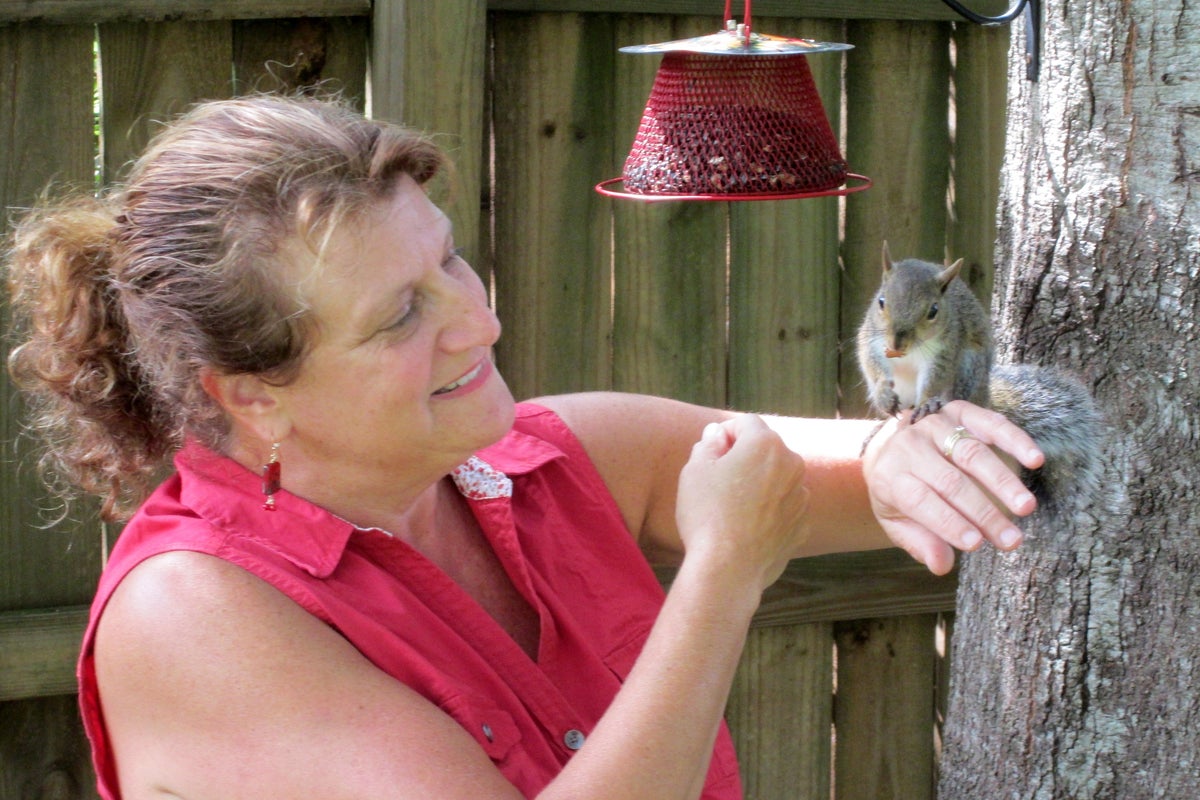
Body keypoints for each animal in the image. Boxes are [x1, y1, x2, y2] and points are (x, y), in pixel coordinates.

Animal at [856, 243, 1104, 518]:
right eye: (881, 301)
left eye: (933, 311)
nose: (898, 343)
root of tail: (984, 399)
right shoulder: (872, 340)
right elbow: (873, 365)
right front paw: (883, 395)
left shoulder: (946, 350)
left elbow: (933, 379)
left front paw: (927, 404)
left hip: (968, 368)